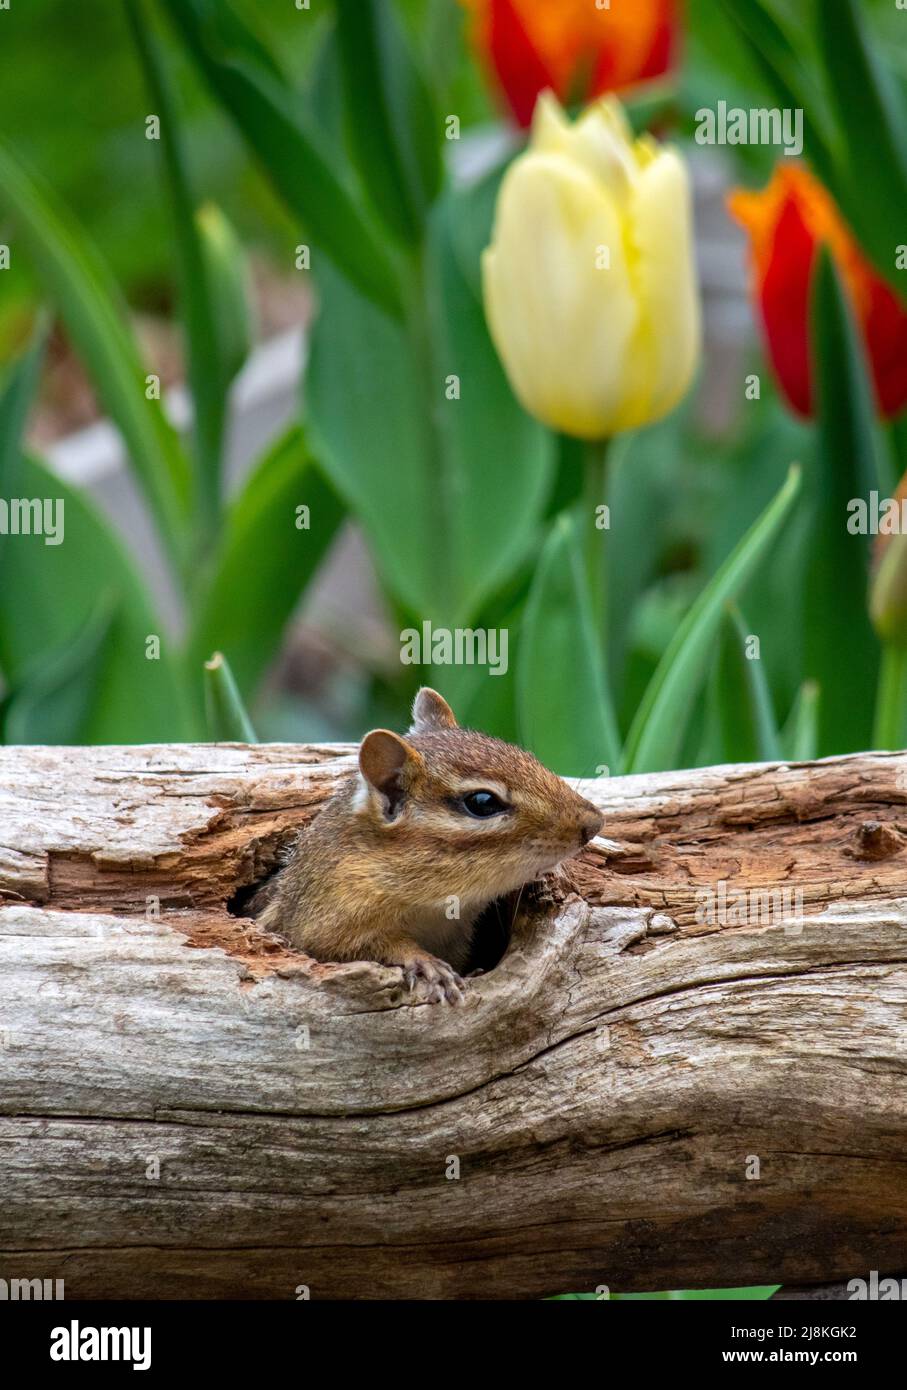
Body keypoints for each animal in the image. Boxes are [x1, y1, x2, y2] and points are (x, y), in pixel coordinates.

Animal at [257, 687, 603, 1004]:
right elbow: (355, 947)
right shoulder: (325, 920)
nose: (595, 822)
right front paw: (425, 962)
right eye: (482, 802)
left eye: (527, 757)